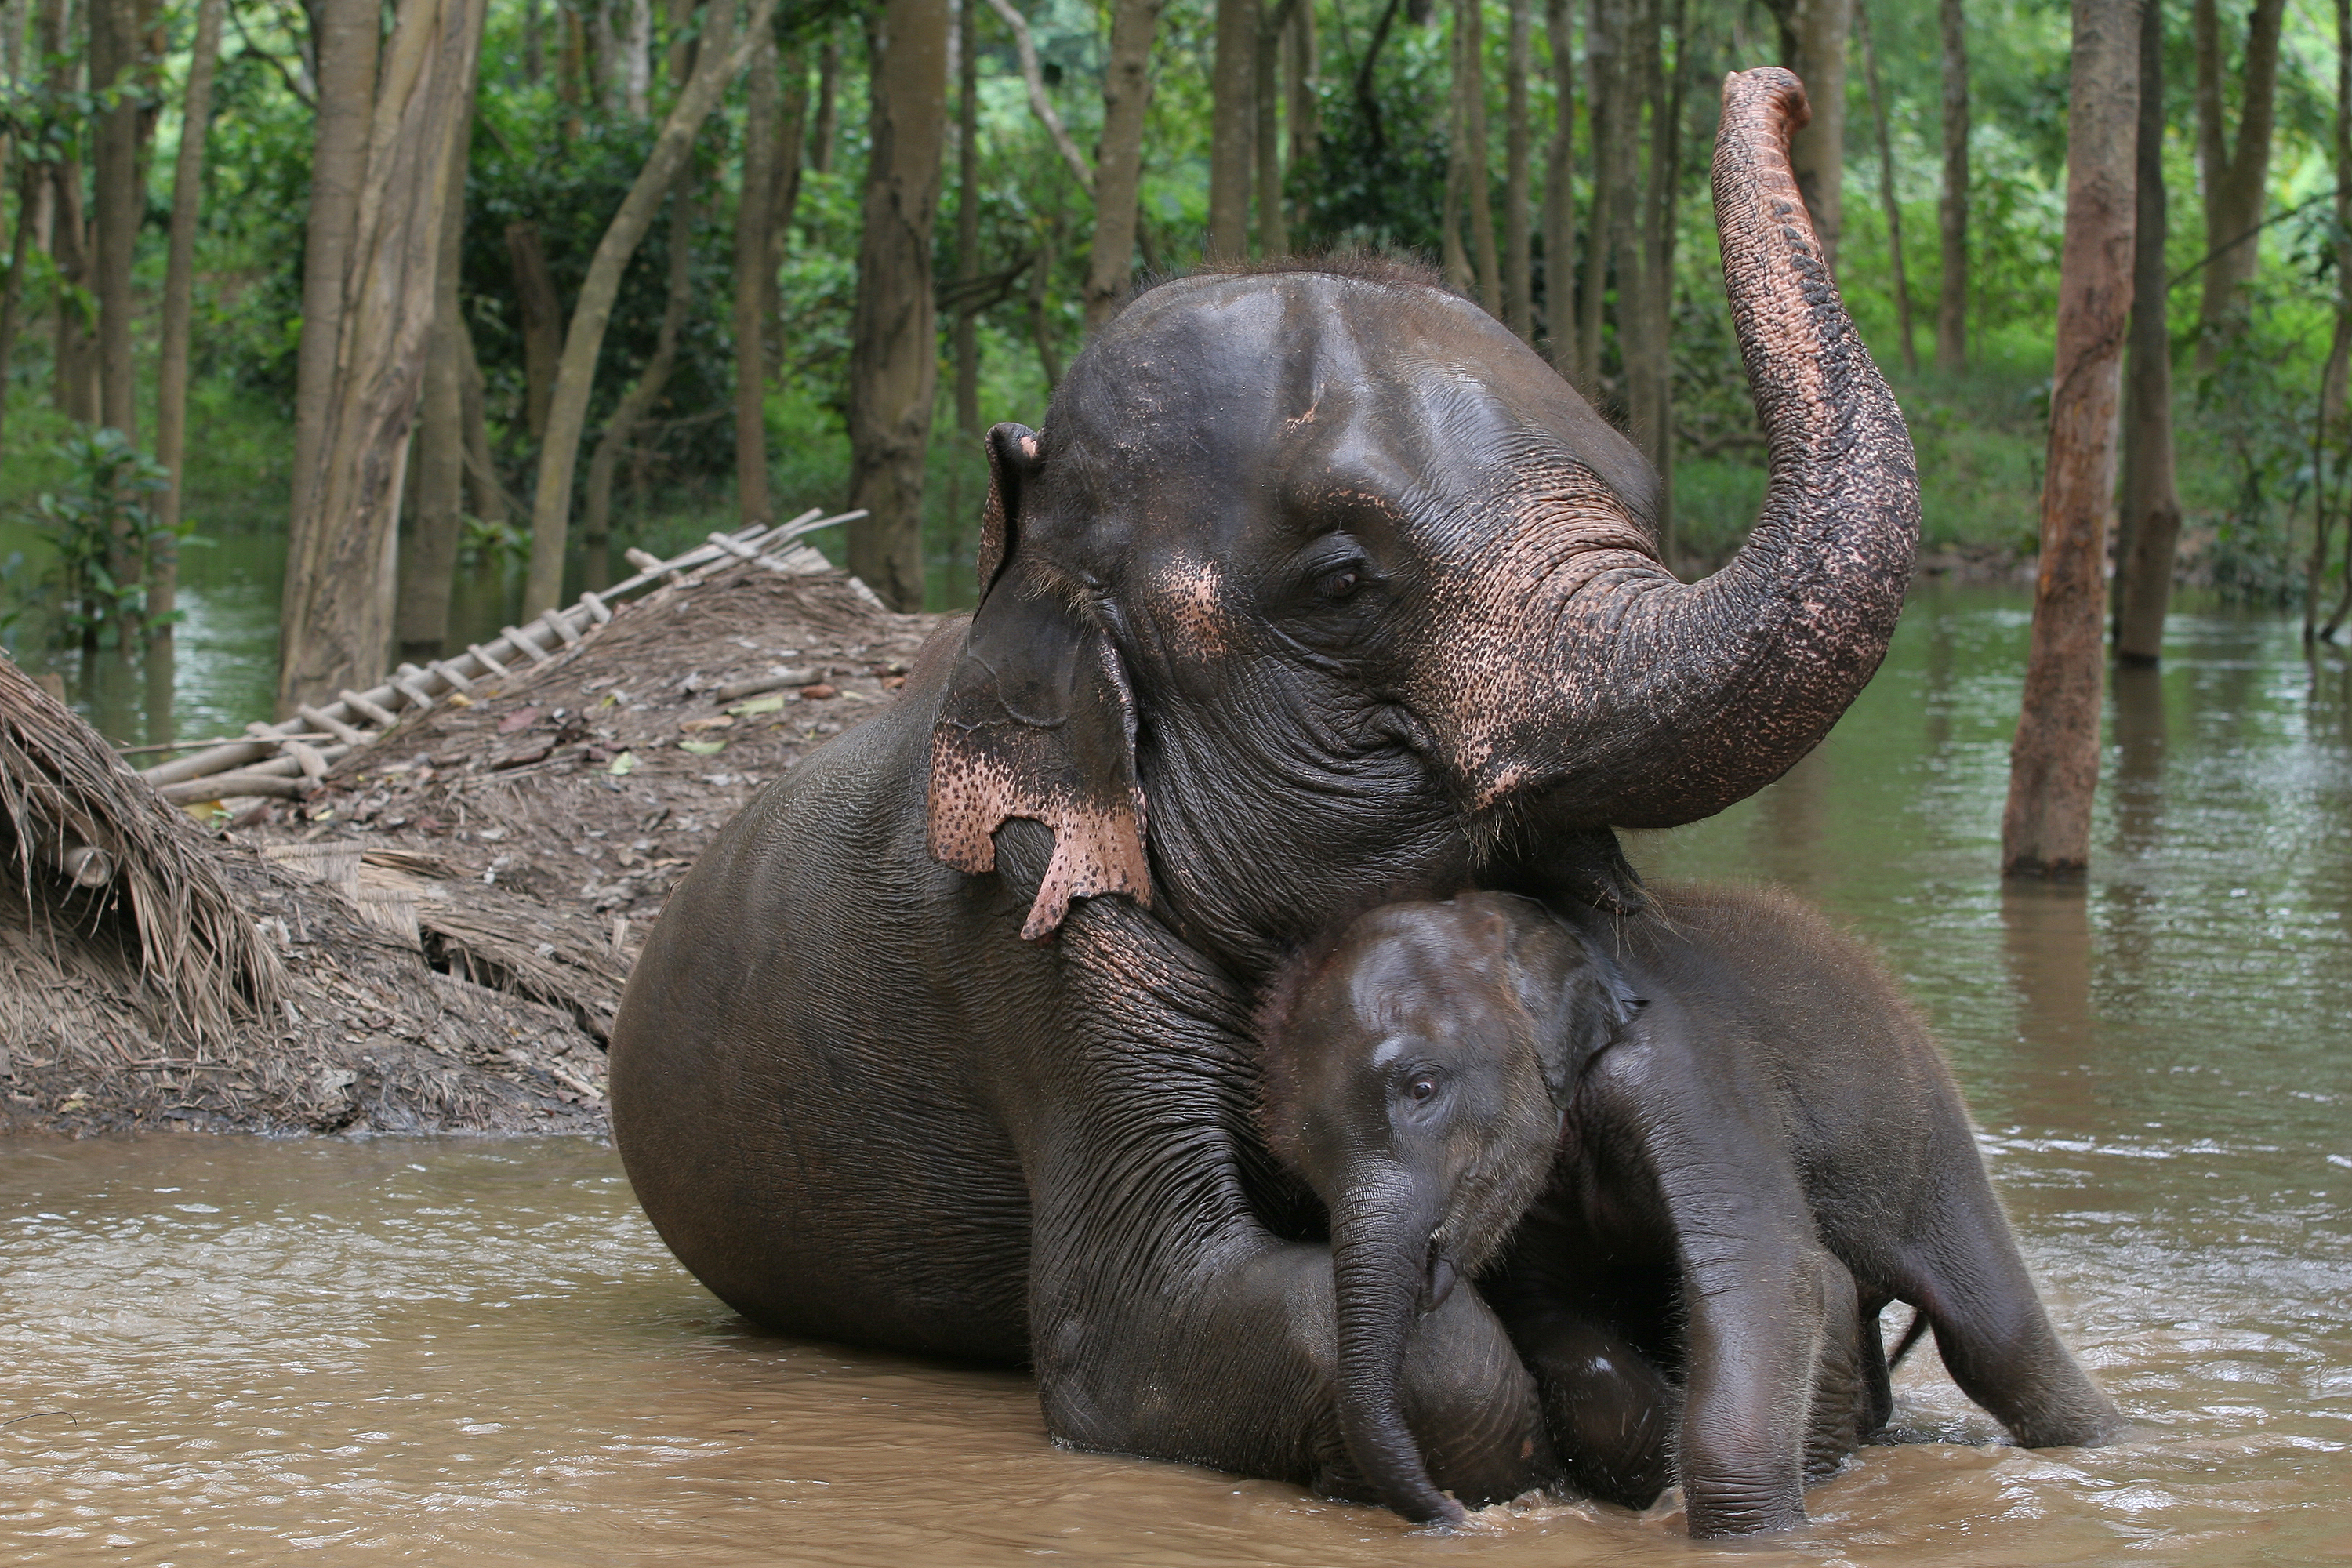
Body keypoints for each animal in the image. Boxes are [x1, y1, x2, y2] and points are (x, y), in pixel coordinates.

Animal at [1251, 885, 2125, 1536]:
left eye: (1422, 1086)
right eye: (1297, 1162)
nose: (1454, 1515)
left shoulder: (1688, 1071)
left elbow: (1765, 1272)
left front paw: (1749, 1534)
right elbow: (1558, 1314)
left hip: (1922, 1129)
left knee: (1995, 1339)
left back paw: (2112, 1442)